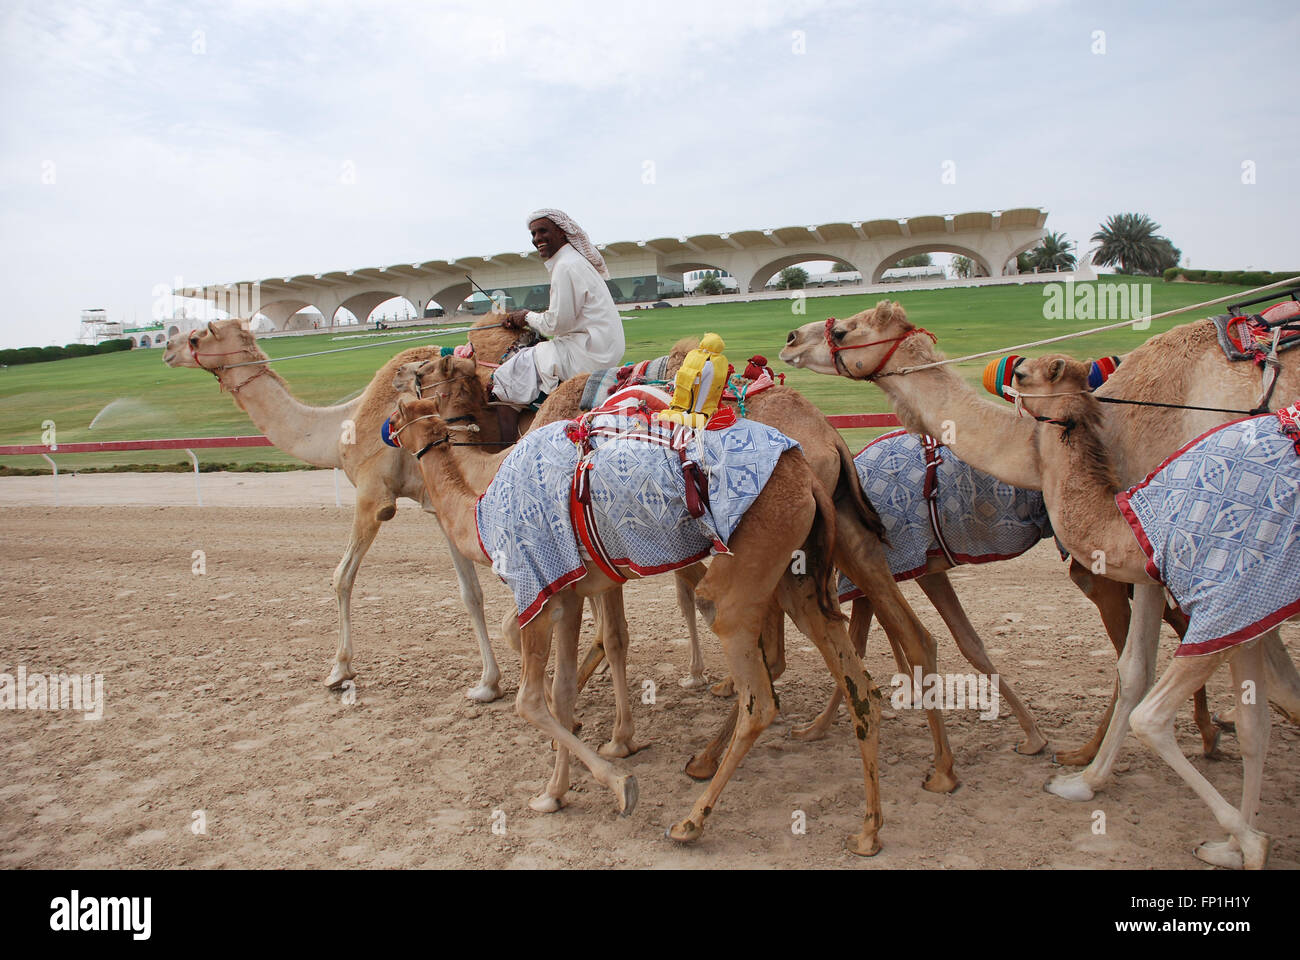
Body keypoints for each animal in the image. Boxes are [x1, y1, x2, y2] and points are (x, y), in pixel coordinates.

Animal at [162, 316, 523, 700]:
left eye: (198, 337)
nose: (168, 348)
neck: (342, 429)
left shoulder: (373, 496)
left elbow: (342, 576)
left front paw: (339, 670)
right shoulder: (436, 503)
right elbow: (471, 592)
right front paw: (489, 682)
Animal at [388, 394, 890, 855]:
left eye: (394, 414)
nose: (384, 433)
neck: (478, 517)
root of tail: (812, 471)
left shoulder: (536, 588)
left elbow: (530, 700)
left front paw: (618, 783)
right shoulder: (567, 593)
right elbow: (564, 693)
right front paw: (554, 793)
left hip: (746, 571)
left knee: (759, 696)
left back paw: (691, 820)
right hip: (797, 575)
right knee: (858, 683)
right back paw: (867, 831)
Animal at [779, 299, 1300, 803]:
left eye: (843, 331)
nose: (791, 337)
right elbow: (959, 641)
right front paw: (1033, 739)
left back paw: (1094, 756)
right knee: (1167, 636)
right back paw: (1189, 738)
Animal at [1009, 355, 1298, 868]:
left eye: (1026, 375)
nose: (1012, 365)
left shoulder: (1223, 601)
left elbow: (1151, 717)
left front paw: (1251, 843)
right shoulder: (1249, 619)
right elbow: (1254, 727)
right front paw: (1231, 846)